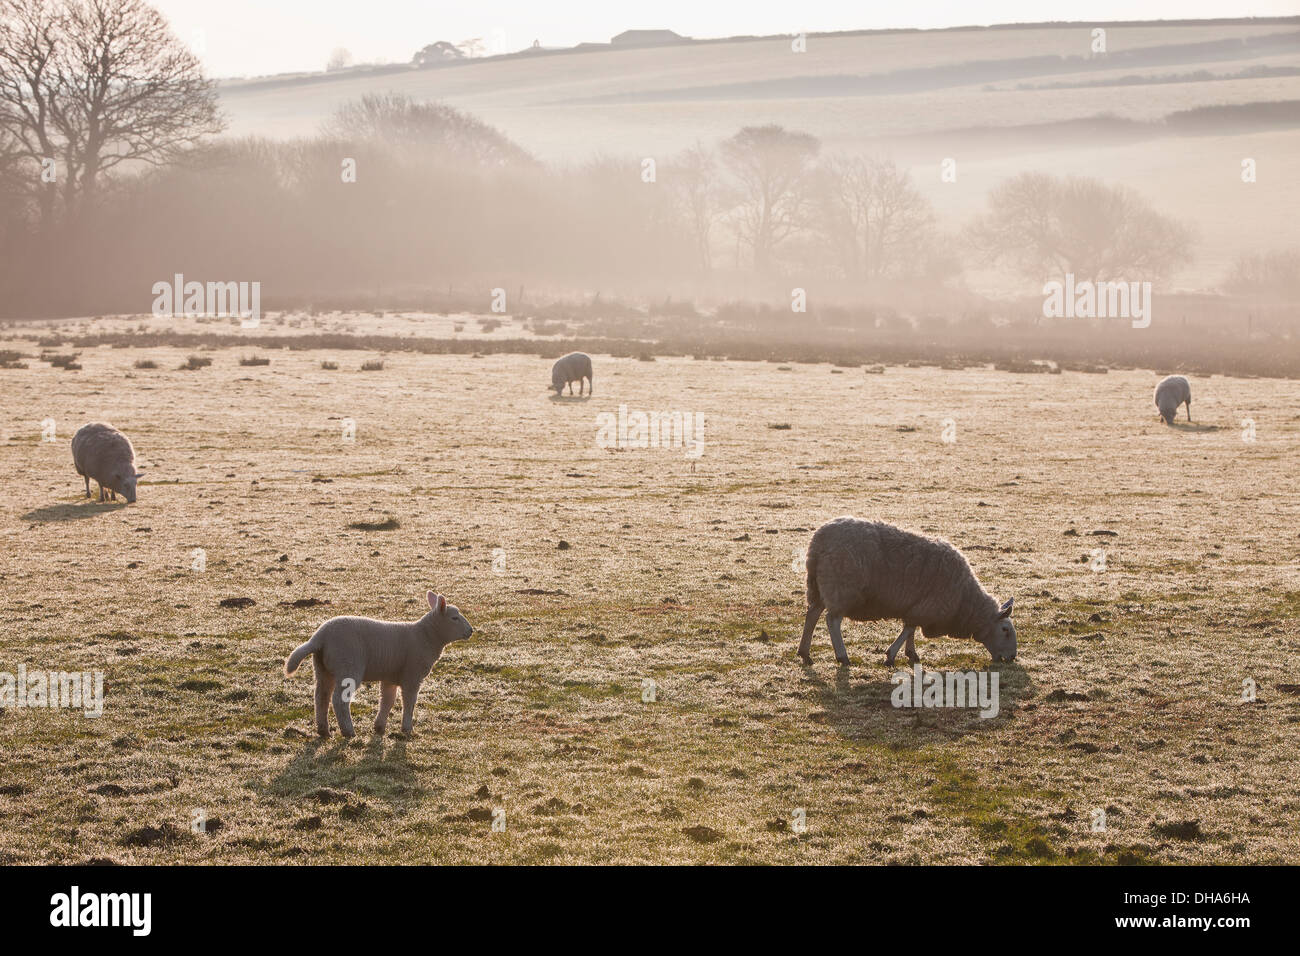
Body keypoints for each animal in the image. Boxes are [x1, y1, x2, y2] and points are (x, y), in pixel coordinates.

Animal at [284, 590, 473, 738]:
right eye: (454, 618)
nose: (471, 631)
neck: (426, 636)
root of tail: (320, 636)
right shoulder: (412, 675)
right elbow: (409, 701)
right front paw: (407, 728)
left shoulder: (390, 677)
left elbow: (387, 700)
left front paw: (379, 727)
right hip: (348, 665)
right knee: (339, 699)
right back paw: (348, 731)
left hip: (323, 669)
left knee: (321, 696)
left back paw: (324, 731)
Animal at [797, 516, 1016, 667]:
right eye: (1005, 630)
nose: (1012, 657)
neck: (965, 600)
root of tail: (818, 541)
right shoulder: (929, 606)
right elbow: (909, 628)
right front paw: (891, 656)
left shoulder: (919, 606)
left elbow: (911, 628)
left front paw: (911, 653)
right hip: (841, 588)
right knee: (832, 620)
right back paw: (842, 656)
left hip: (819, 586)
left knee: (812, 614)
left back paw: (805, 653)